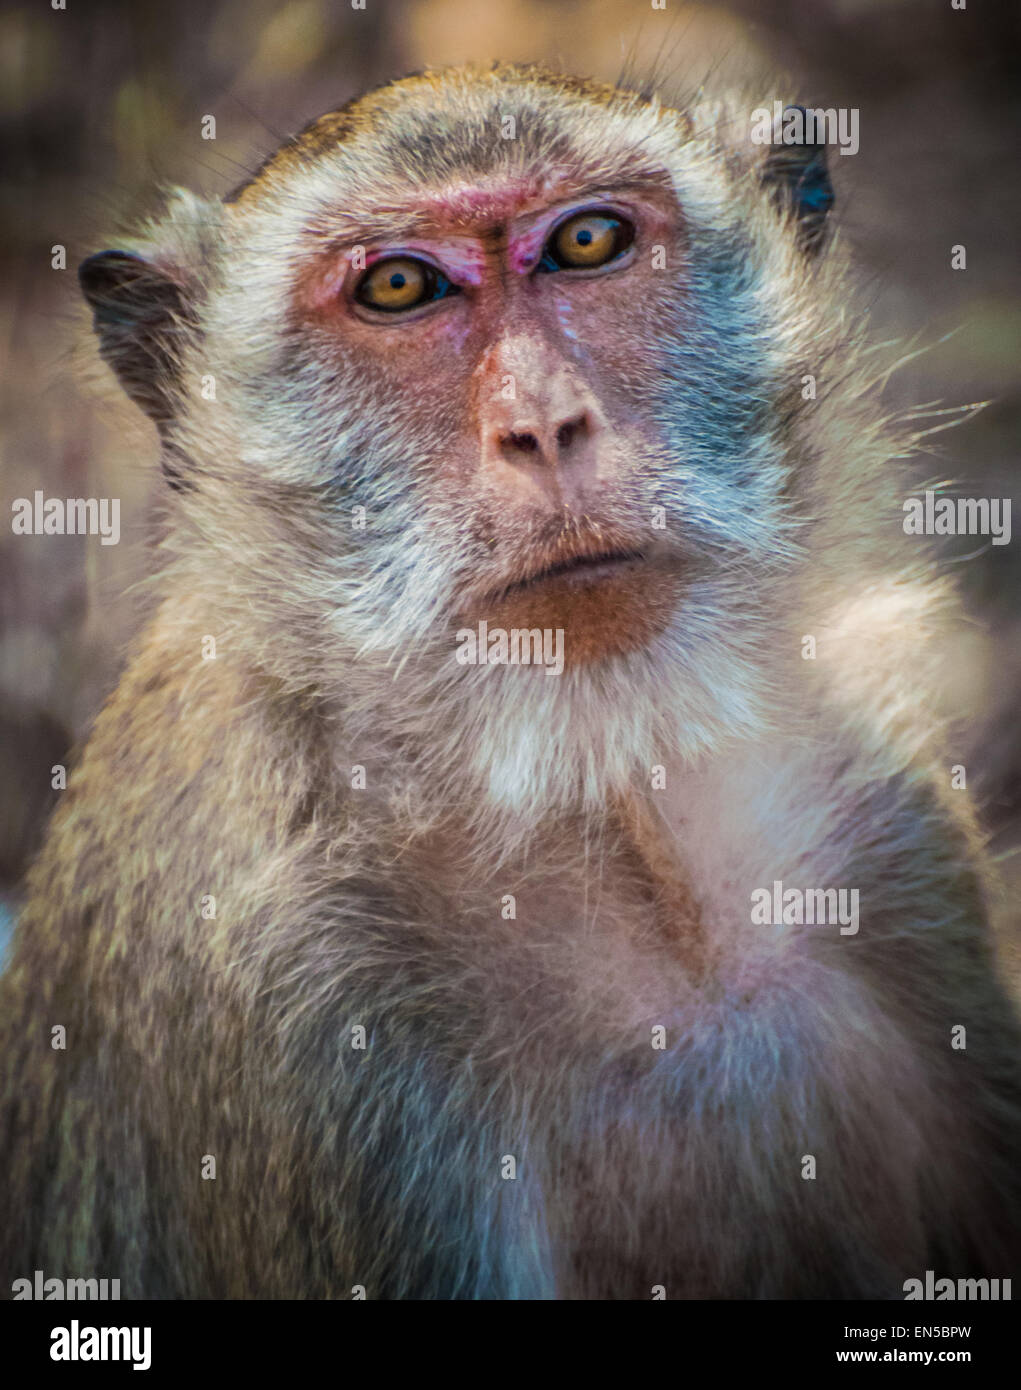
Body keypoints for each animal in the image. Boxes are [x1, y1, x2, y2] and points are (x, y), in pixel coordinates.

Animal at [1, 62, 1019, 1300]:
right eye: (398, 286)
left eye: (586, 241)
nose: (543, 424)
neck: (601, 804)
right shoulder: (311, 1005)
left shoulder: (888, 824)